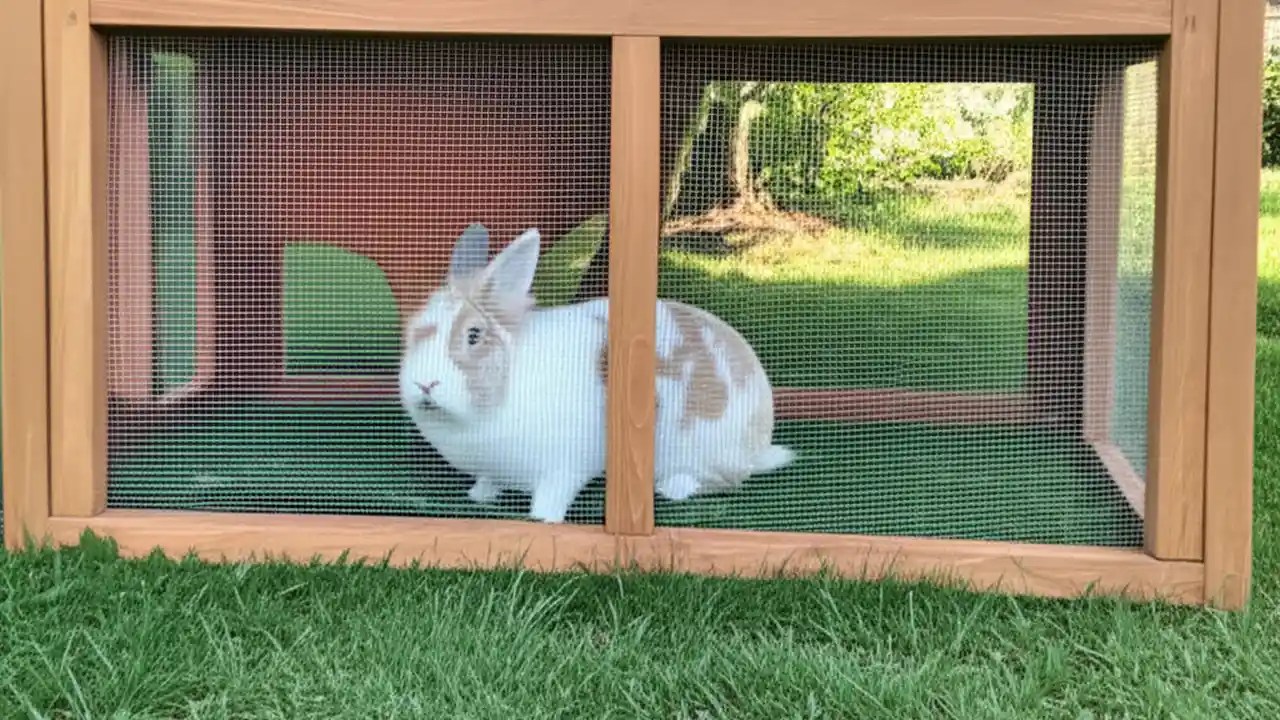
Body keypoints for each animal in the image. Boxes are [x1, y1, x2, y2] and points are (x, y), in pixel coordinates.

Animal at [398, 223, 795, 523]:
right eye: (414, 330)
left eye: (474, 335)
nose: (425, 383)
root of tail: (760, 440)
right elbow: (489, 481)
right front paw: (479, 495)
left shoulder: (563, 468)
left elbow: (552, 496)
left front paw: (542, 519)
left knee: (722, 479)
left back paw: (672, 487)